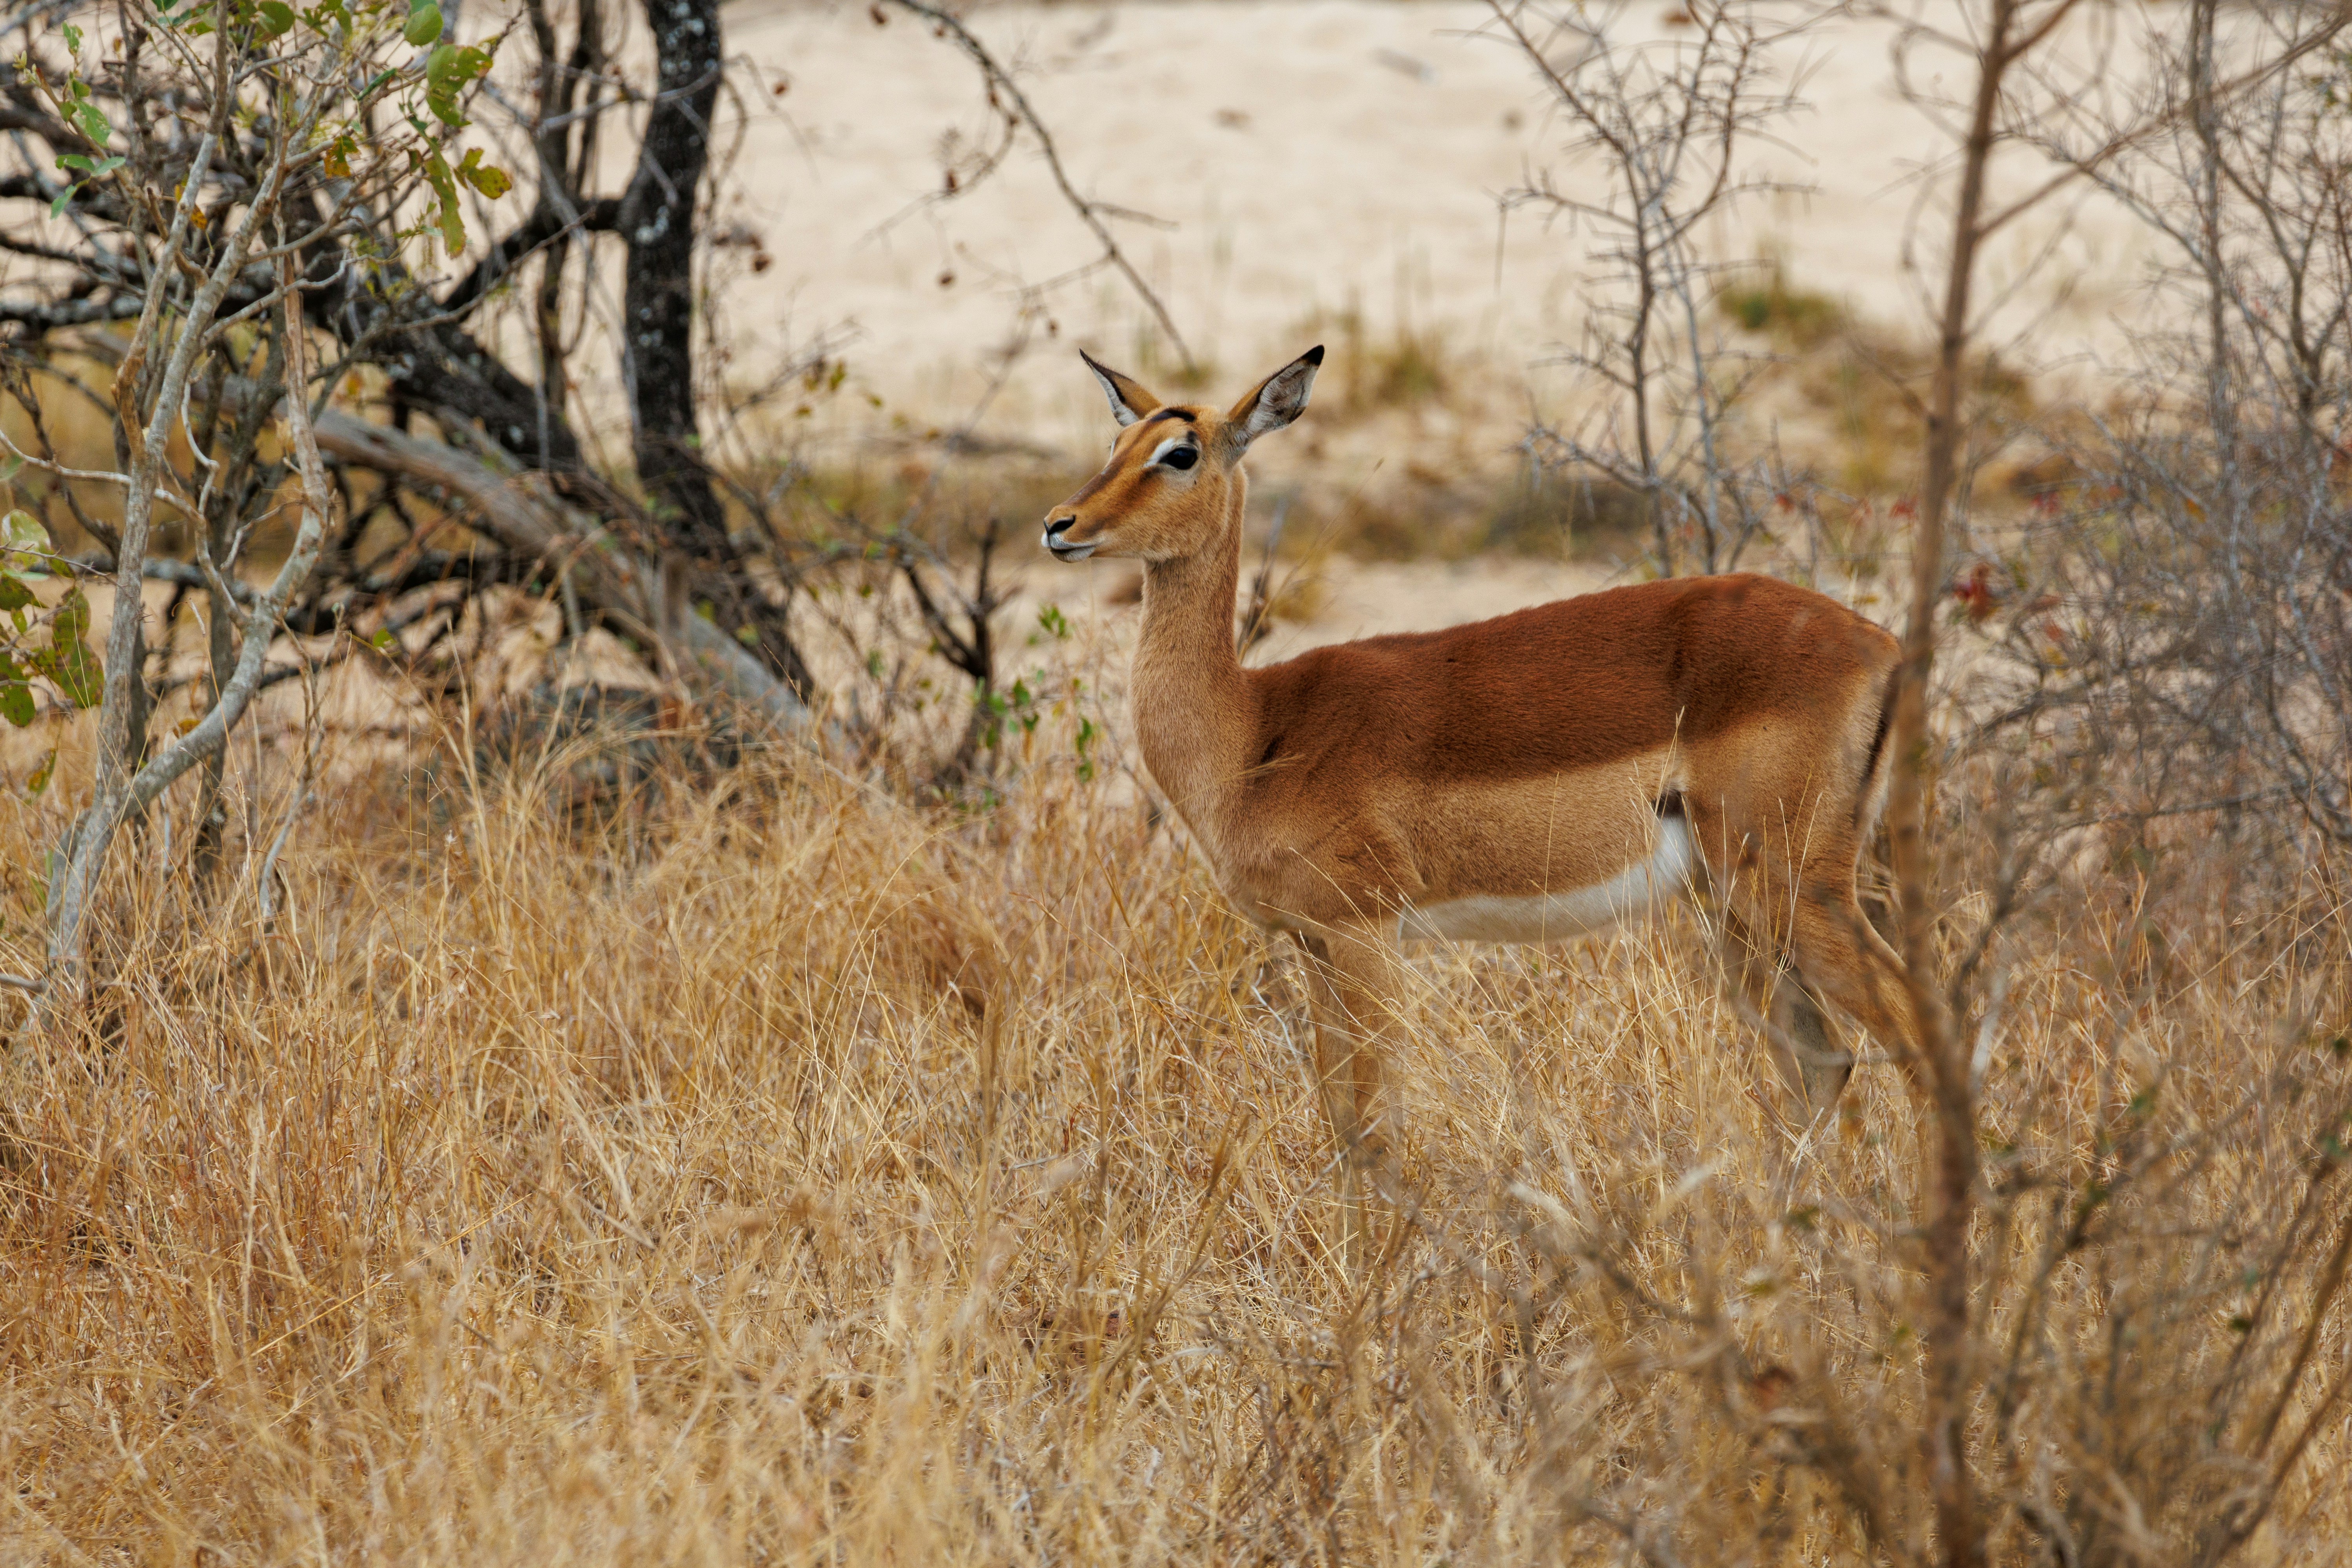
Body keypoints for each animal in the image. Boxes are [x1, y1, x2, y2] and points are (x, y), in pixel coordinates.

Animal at [1042, 346, 1920, 1159]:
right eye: (1118, 441)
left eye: (1180, 453)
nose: (1060, 525)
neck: (1253, 729)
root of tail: (1881, 644)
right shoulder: (1312, 943)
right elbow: (1341, 1120)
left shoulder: (1364, 934)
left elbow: (1377, 1124)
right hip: (1730, 905)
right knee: (1825, 1062)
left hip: (1795, 887)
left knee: (1912, 1028)